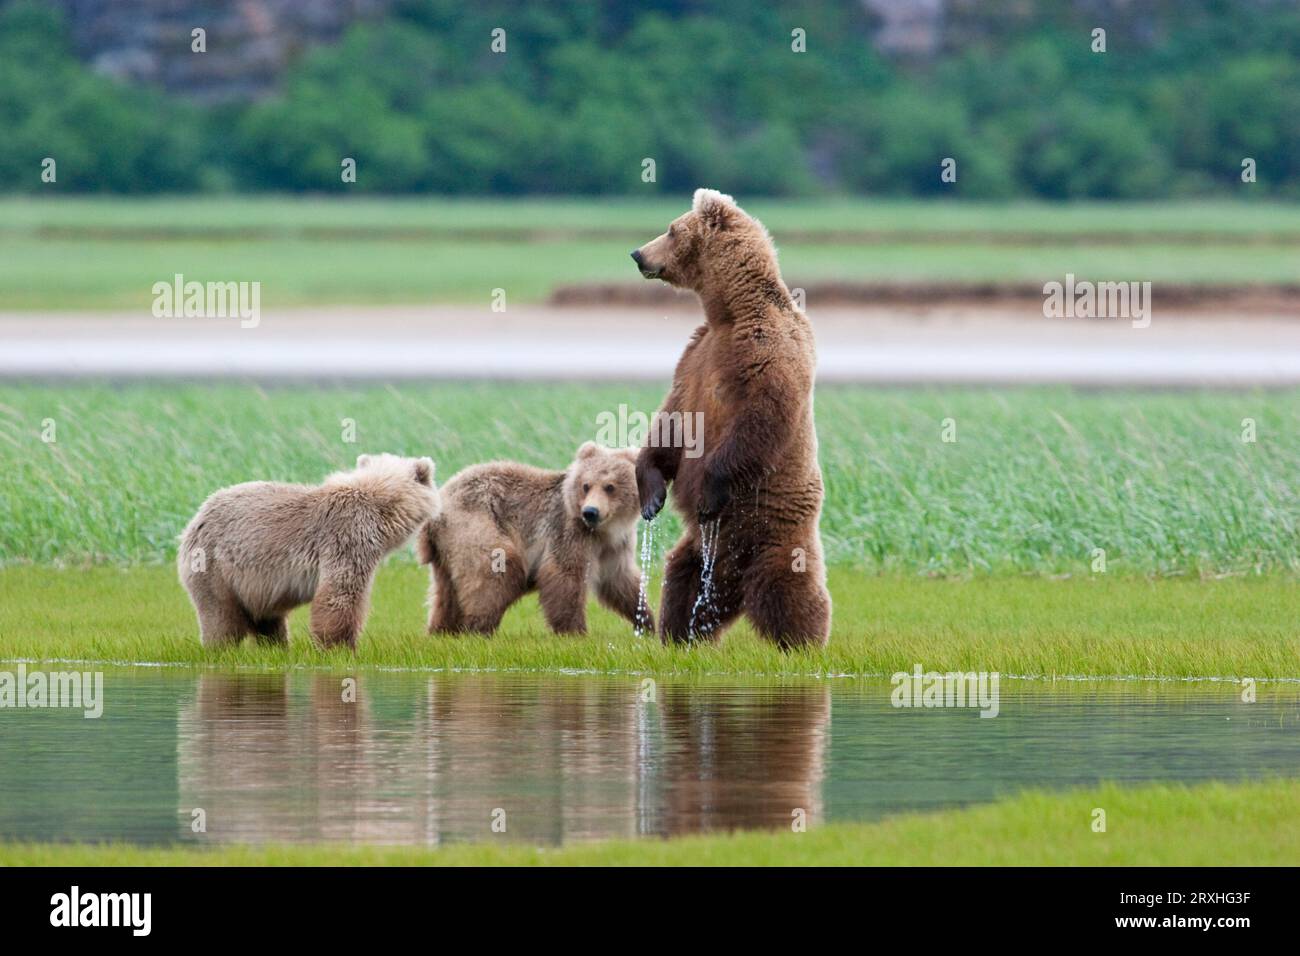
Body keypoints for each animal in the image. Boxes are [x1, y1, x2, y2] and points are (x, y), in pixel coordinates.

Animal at [178, 453, 440, 650]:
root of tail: (194, 519)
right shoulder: (347, 537)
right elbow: (340, 593)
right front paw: (340, 646)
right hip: (214, 566)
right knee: (220, 615)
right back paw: (221, 646)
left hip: (254, 583)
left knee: (267, 618)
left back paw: (278, 646)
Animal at [416, 441, 651, 636]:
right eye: (586, 485)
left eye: (610, 486)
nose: (590, 512)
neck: (605, 530)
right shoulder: (570, 532)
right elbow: (565, 576)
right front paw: (575, 631)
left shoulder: (615, 546)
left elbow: (620, 581)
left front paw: (647, 622)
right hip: (476, 522)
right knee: (497, 568)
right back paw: (479, 628)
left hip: (447, 546)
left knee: (446, 591)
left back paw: (442, 629)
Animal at [630, 188, 831, 649]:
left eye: (671, 228)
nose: (637, 253)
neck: (730, 312)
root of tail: (733, 572)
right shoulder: (696, 358)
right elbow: (671, 421)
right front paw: (651, 495)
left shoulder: (767, 349)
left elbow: (763, 416)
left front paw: (708, 491)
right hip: (703, 550)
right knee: (683, 580)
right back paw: (682, 634)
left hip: (774, 529)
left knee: (789, 587)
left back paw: (803, 643)